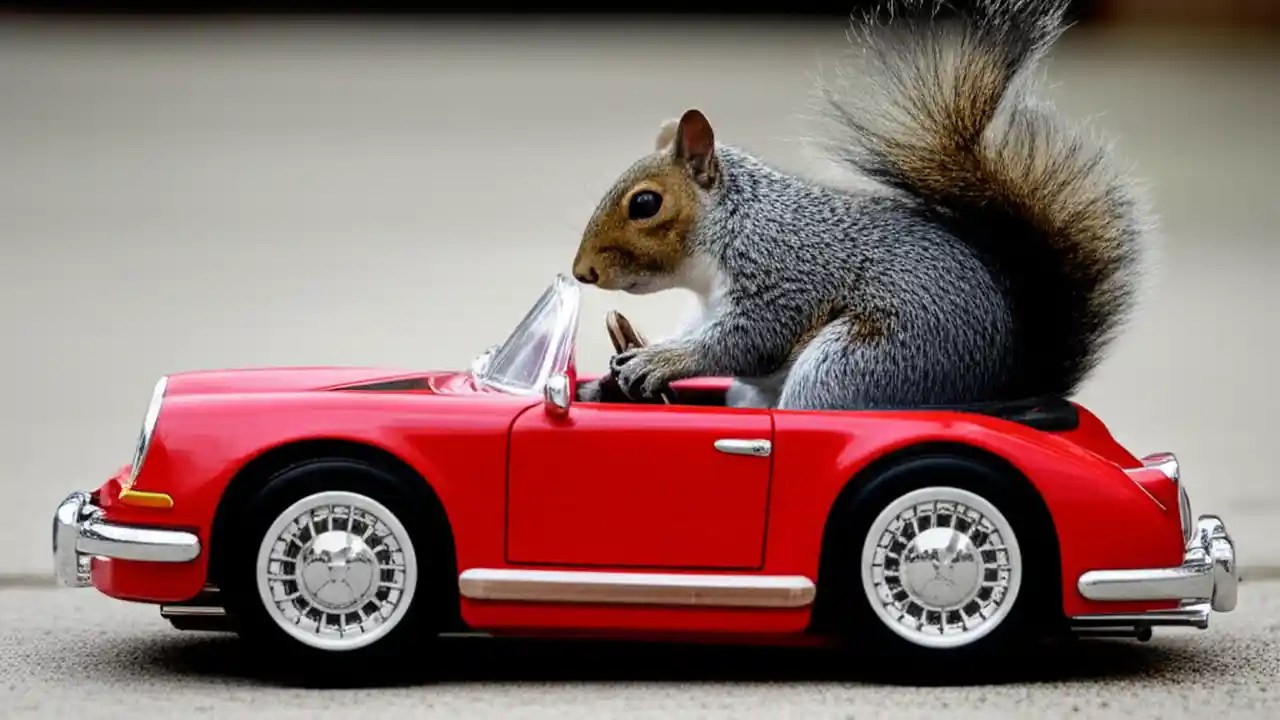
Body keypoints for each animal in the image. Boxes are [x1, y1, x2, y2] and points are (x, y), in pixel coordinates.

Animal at [572, 0, 1151, 411]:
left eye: (646, 203)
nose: (582, 272)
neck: (734, 227)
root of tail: (1006, 385)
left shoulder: (785, 275)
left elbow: (746, 341)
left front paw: (657, 361)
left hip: (858, 364)